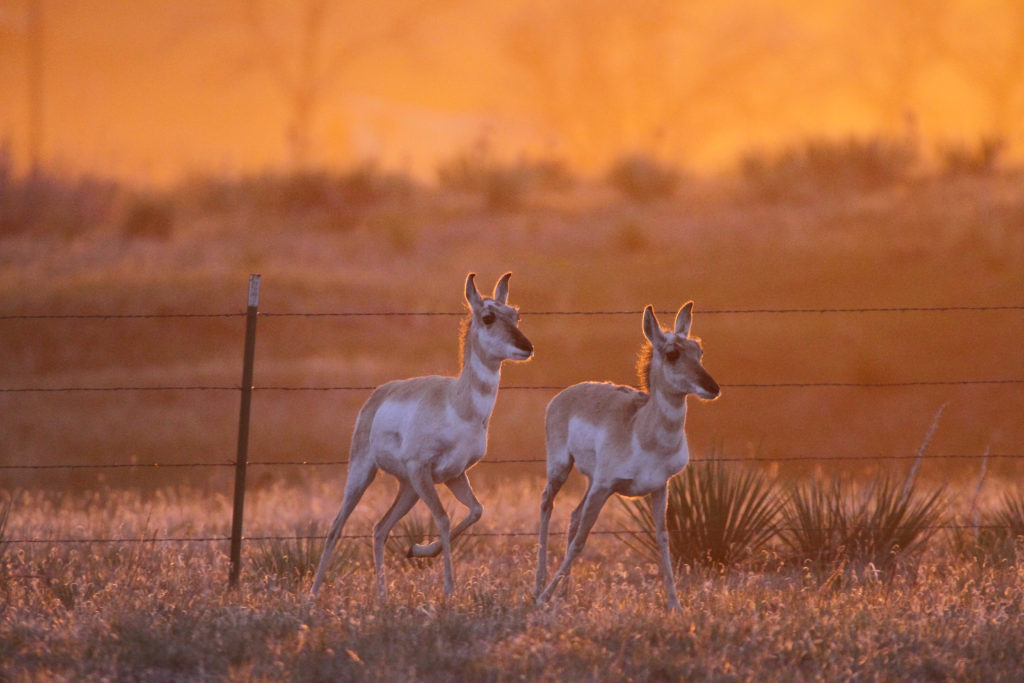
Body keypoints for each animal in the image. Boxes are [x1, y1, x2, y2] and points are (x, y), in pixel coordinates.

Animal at [311, 272, 533, 600]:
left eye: (515, 315)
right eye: (488, 317)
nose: (527, 347)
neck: (458, 404)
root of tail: (379, 393)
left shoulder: (454, 475)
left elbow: (476, 510)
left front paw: (417, 550)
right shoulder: (424, 469)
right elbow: (443, 517)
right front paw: (449, 588)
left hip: (409, 488)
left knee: (379, 527)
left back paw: (382, 597)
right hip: (365, 473)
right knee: (336, 526)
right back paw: (312, 595)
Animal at [534, 302, 719, 611]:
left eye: (699, 350)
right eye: (672, 353)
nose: (713, 388)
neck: (642, 431)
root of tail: (564, 395)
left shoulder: (659, 488)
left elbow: (663, 539)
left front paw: (675, 604)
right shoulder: (604, 487)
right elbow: (580, 542)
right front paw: (543, 597)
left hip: (591, 483)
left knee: (573, 515)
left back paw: (564, 594)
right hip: (562, 469)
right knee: (548, 503)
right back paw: (539, 588)